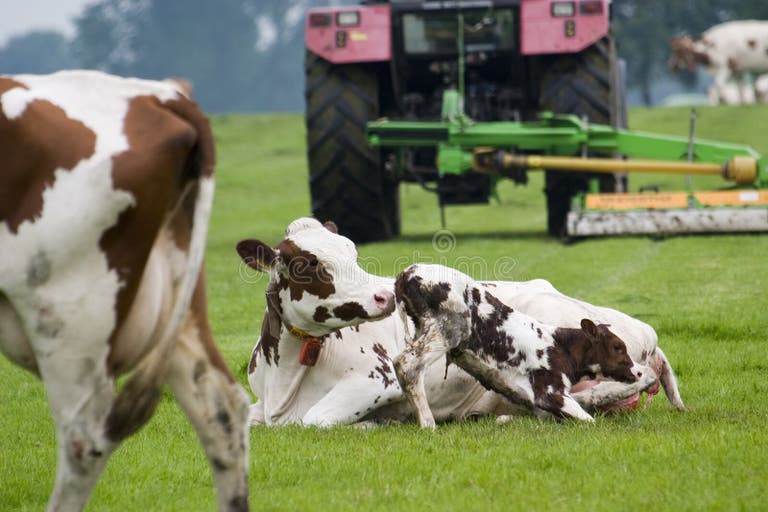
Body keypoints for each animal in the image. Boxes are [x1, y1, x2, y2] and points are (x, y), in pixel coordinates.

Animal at [393, 264, 657, 428]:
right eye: (617, 347)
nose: (638, 371)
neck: (559, 345)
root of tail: (408, 273)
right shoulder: (549, 392)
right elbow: (588, 419)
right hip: (446, 330)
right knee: (407, 364)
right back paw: (427, 423)